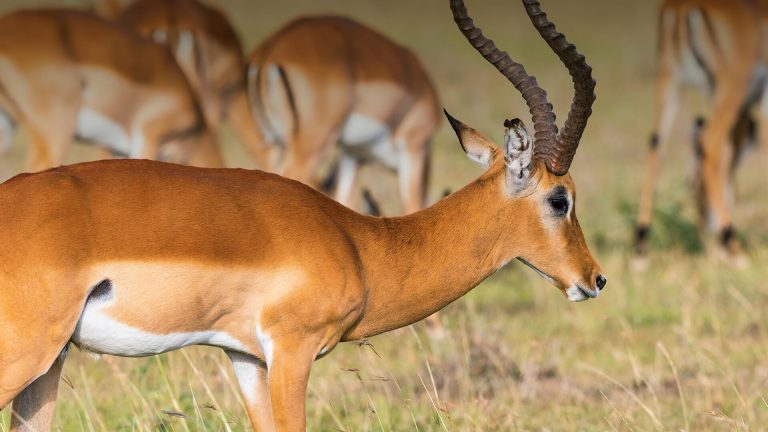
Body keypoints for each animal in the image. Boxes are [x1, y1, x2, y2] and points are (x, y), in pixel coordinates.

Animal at [247, 15, 440, 214]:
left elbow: (345, 199)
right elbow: (412, 205)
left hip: (277, 144)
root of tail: (273, 45)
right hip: (313, 145)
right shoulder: (413, 147)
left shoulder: (351, 152)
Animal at [634, 0, 768, 260]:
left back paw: (641, 247)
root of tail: (681, 6)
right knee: (711, 143)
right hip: (731, 86)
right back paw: (731, 242)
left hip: (671, 82)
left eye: (691, 183)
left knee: (657, 145)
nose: (705, 224)